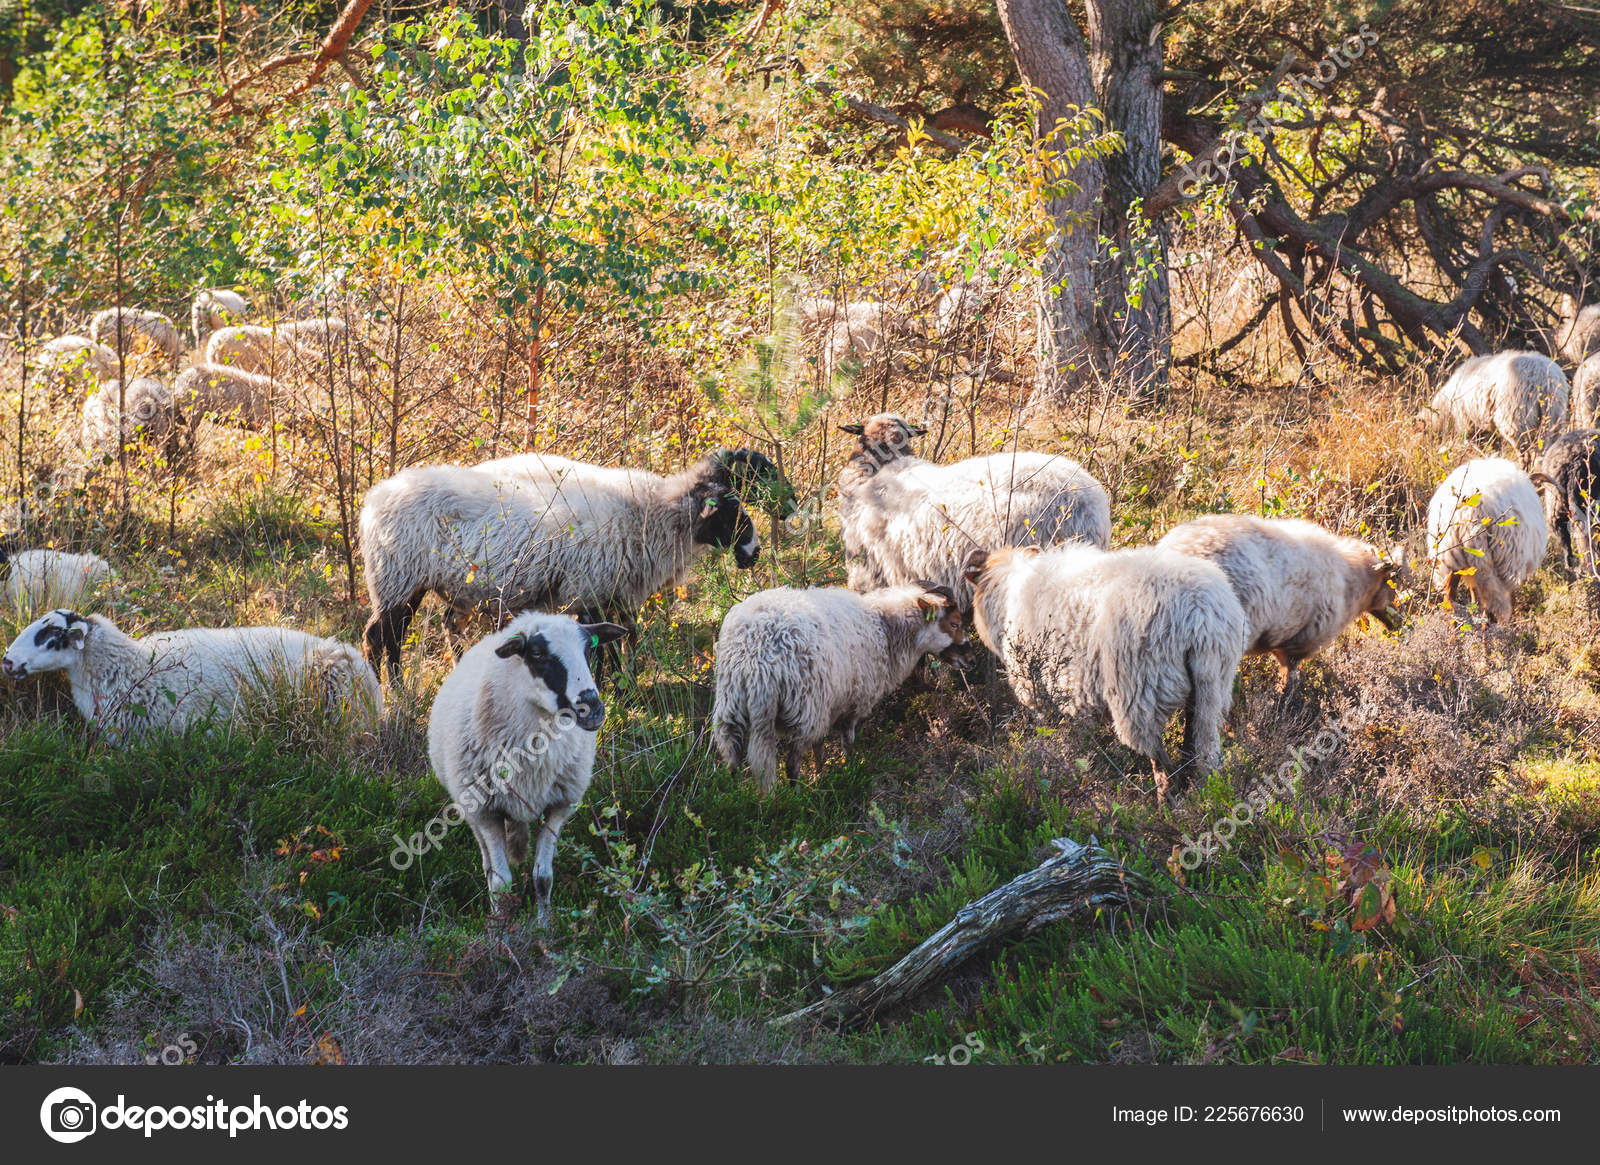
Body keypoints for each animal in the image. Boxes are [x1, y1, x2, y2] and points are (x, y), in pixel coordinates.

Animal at [359, 448, 785, 679]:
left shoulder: (614, 594)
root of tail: (374, 500)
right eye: (730, 510)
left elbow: (624, 639)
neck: (651, 514)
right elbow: (602, 649)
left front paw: (627, 686)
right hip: (398, 580)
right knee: (382, 639)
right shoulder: (589, 591)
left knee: (428, 631)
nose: (753, 553)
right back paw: (392, 695)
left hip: (442, 587)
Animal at [426, 612, 627, 922]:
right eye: (537, 653)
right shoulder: (487, 813)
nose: (592, 709)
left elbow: (543, 877)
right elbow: (500, 883)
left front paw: (544, 926)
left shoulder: (558, 807)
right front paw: (500, 928)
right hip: (470, 807)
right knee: (487, 862)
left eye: (588, 649)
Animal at [711, 582, 966, 793]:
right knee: (791, 764)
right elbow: (847, 741)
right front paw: (849, 770)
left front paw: (820, 774)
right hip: (804, 708)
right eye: (954, 623)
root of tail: (756, 650)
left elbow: (819, 748)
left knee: (732, 761)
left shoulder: (829, 705)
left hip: (731, 705)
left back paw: (736, 798)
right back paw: (796, 797)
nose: (970, 659)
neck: (884, 628)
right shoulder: (852, 703)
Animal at [964, 543, 1249, 803]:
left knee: (1160, 760)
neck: (1010, 592)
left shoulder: (1039, 692)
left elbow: (1060, 737)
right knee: (1201, 748)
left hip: (1139, 691)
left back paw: (1165, 803)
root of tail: (1198, 615)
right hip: (1213, 684)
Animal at [1426, 457, 1549, 624]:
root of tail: (1470, 511)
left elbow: (1473, 595)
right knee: (1492, 607)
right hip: (1500, 562)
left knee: (1449, 600)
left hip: (1451, 557)